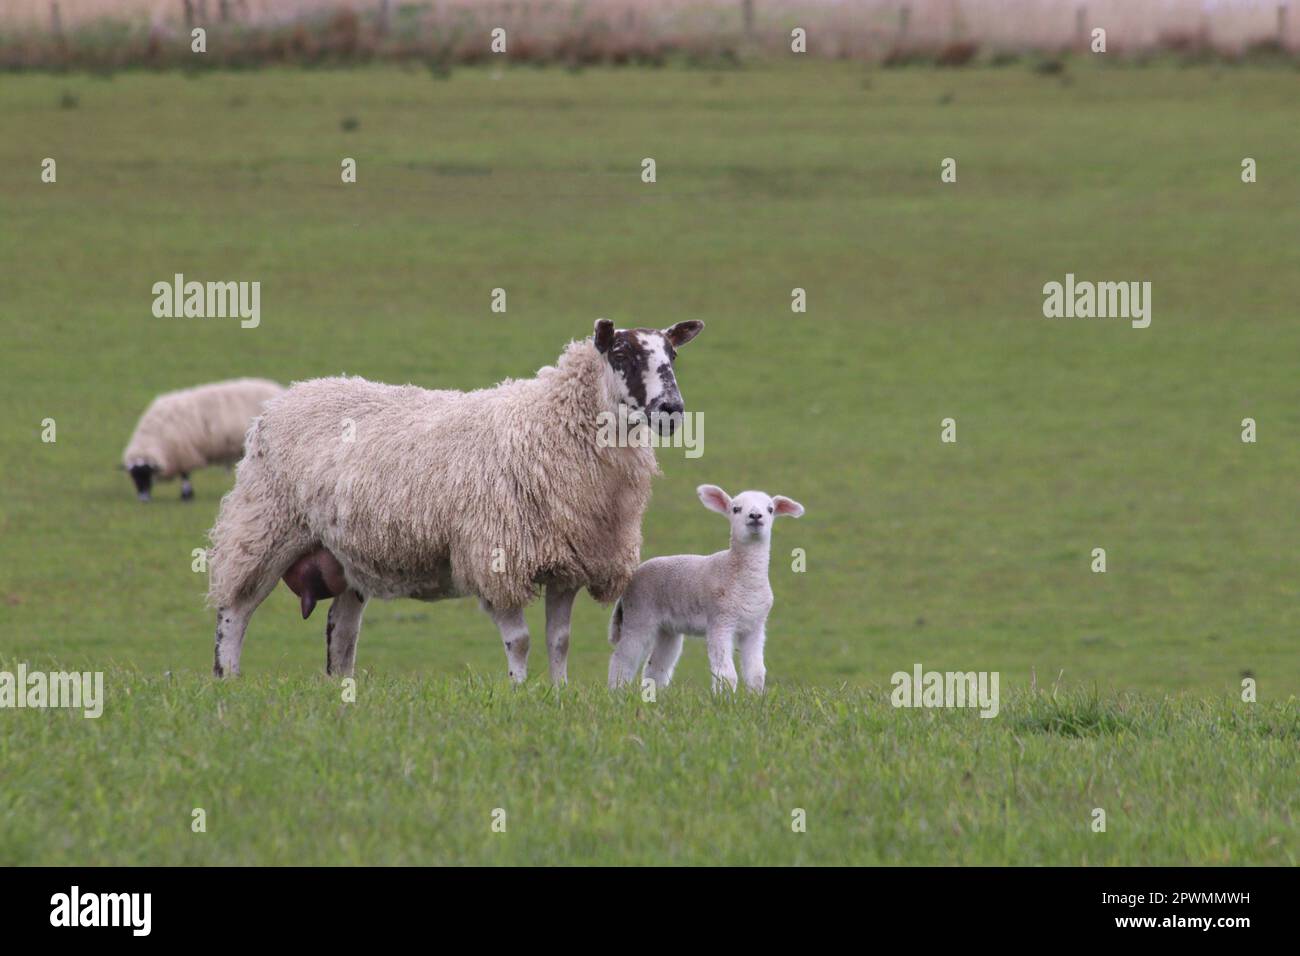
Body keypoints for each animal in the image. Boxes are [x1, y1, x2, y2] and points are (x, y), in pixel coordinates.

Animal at [122, 378, 285, 502]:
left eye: (146, 474)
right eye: (134, 477)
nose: (143, 499)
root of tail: (277, 388)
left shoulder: (183, 452)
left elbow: (185, 475)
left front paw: (186, 495)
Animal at [206, 318, 705, 683]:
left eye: (673, 355)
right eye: (622, 355)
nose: (671, 411)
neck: (553, 425)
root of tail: (288, 397)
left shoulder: (568, 563)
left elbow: (558, 640)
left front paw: (560, 693)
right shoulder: (495, 557)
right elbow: (520, 640)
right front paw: (520, 692)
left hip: (344, 555)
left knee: (341, 630)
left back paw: (341, 688)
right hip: (265, 525)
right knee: (235, 610)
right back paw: (228, 681)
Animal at [608, 484, 805, 694]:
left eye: (770, 509)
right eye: (736, 509)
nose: (755, 515)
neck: (740, 577)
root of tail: (630, 580)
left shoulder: (755, 626)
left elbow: (757, 673)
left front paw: (755, 698)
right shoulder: (720, 621)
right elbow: (727, 674)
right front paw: (725, 698)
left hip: (668, 628)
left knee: (656, 666)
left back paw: (654, 694)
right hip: (639, 613)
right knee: (622, 658)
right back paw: (617, 692)